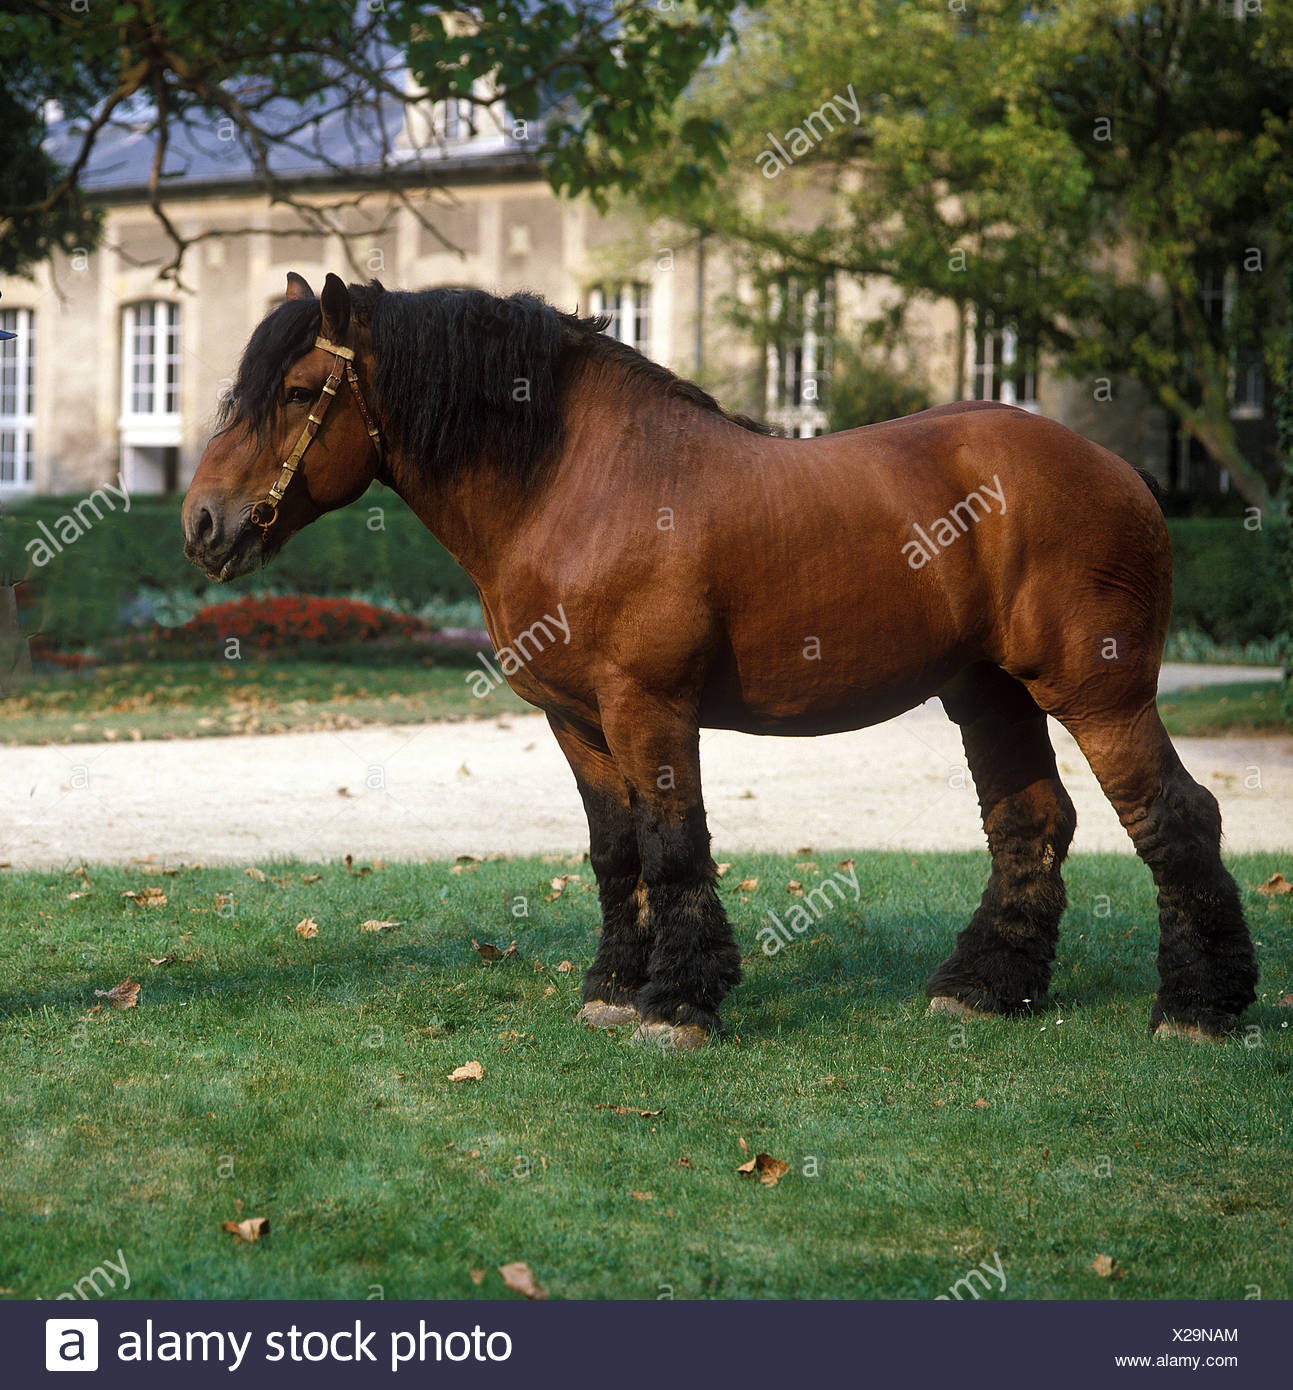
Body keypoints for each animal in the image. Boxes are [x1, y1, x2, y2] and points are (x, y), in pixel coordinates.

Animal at [182, 272, 1257, 1050]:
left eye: (297, 391)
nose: (202, 523)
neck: (572, 481)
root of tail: (1122, 474)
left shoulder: (648, 708)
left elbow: (672, 842)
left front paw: (677, 1005)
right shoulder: (575, 721)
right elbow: (616, 851)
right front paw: (612, 989)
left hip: (1097, 691)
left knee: (1175, 817)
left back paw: (1198, 1010)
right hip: (989, 696)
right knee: (1031, 823)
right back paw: (983, 989)